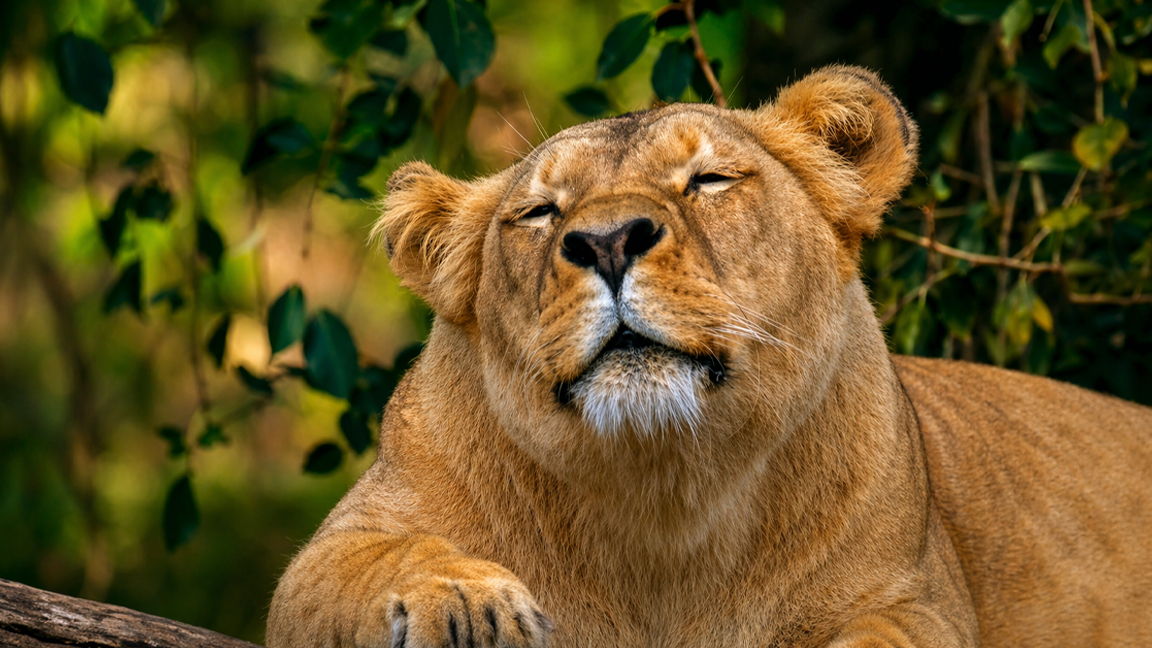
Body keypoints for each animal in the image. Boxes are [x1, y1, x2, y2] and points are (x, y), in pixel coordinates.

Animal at [267, 66, 1152, 648]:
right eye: (540, 212)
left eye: (710, 180)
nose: (607, 240)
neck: (662, 488)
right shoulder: (342, 545)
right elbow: (372, 559)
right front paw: (463, 601)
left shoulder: (913, 597)